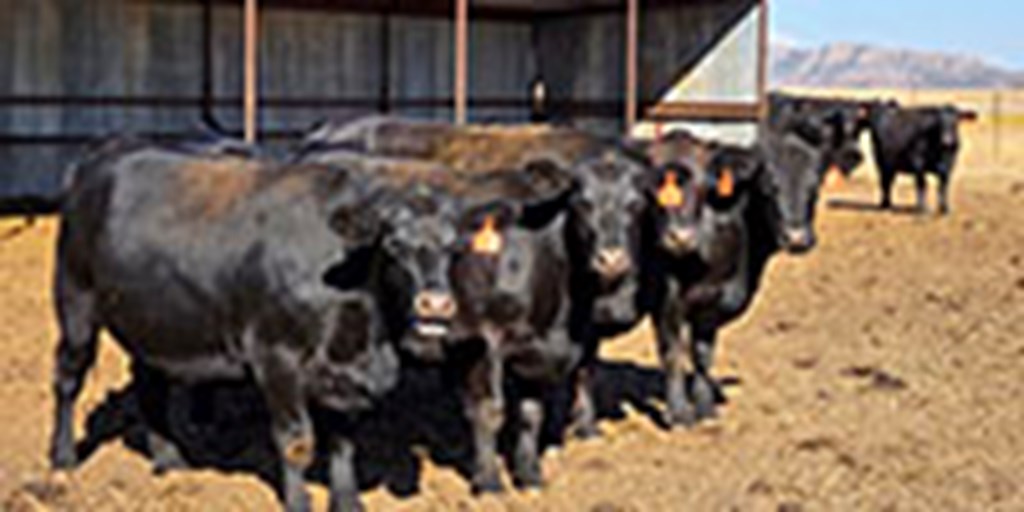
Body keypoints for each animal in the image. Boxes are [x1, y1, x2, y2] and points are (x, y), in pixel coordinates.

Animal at [49, 137, 482, 512]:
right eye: (393, 245)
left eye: (454, 248)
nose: (436, 303)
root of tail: (104, 153)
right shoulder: (276, 358)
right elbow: (296, 441)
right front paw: (299, 503)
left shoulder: (342, 378)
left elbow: (343, 444)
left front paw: (348, 502)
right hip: (76, 303)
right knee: (68, 377)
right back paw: (62, 459)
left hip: (156, 322)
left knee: (149, 384)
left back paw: (170, 462)